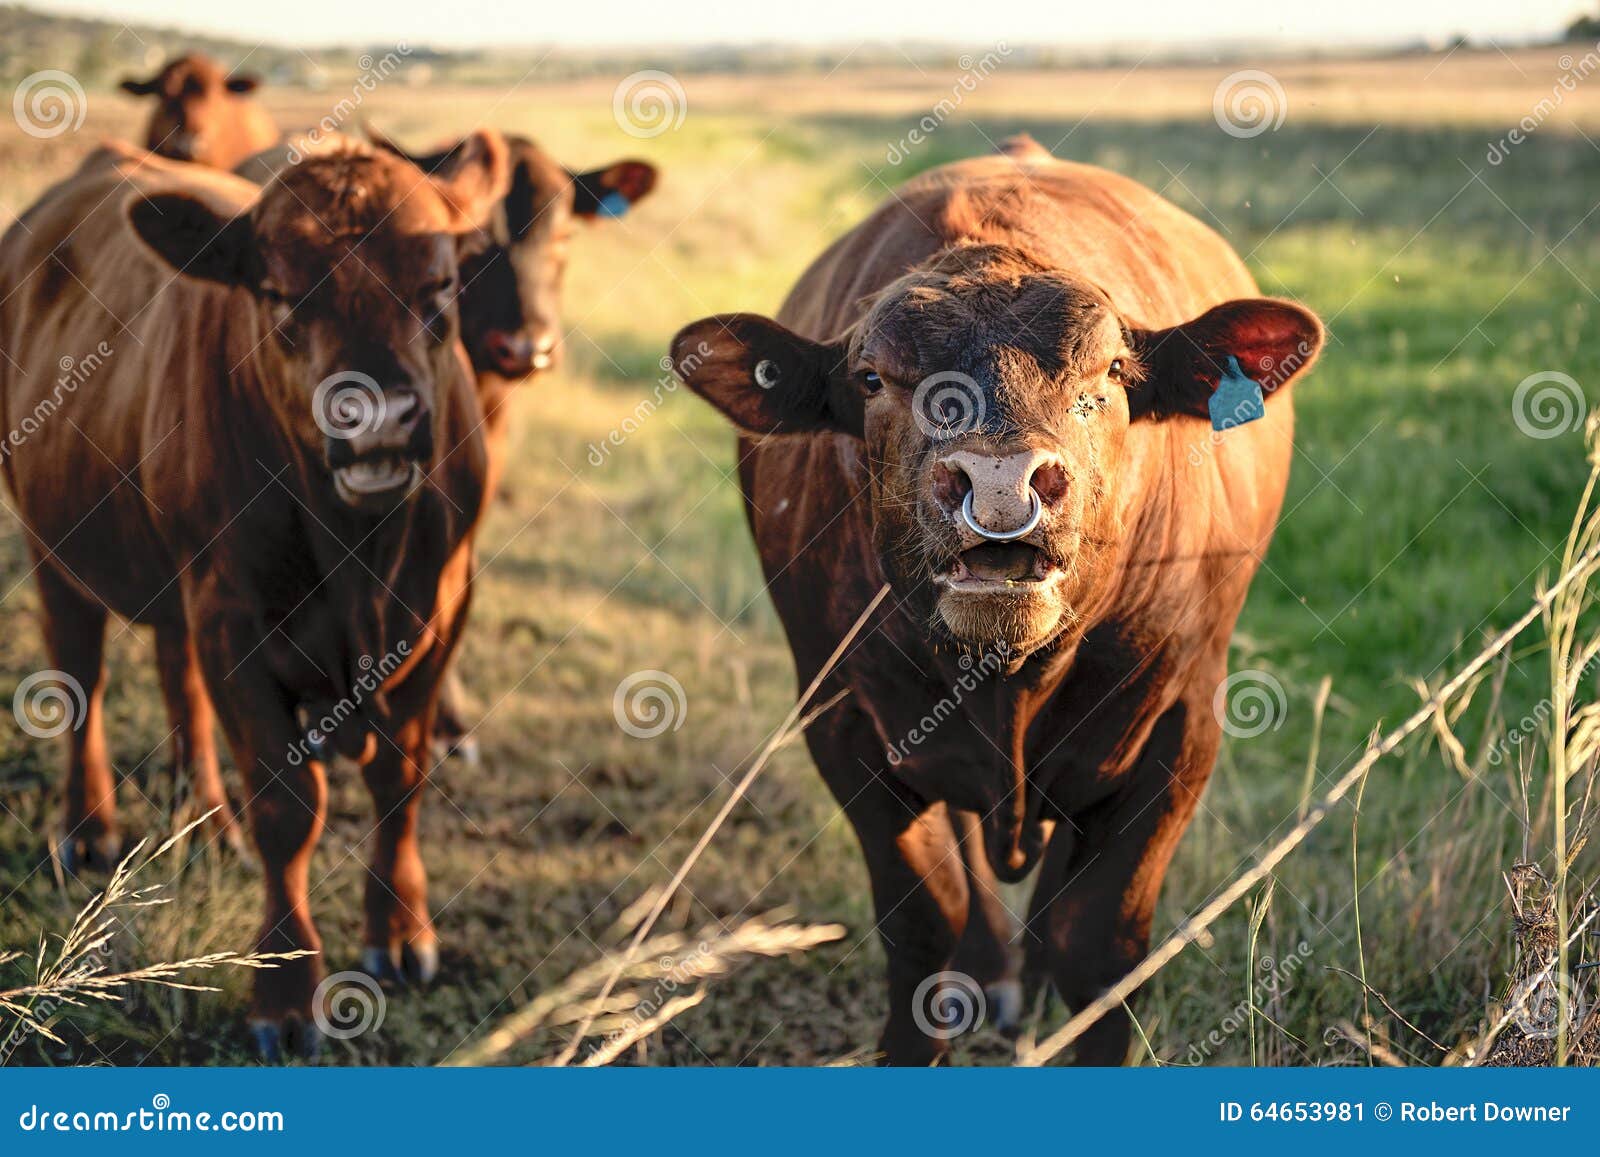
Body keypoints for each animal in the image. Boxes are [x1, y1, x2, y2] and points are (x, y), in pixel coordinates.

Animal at [0, 134, 505, 1056]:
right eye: (278, 293)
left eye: (441, 283)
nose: (378, 416)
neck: (360, 558)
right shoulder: (233, 616)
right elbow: (285, 805)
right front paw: (285, 988)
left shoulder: (444, 606)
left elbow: (401, 780)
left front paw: (400, 929)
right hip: (55, 547)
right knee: (81, 678)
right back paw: (88, 832)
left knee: (178, 683)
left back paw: (205, 823)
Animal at [671, 135, 1323, 1065]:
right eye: (871, 376)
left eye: (1111, 370)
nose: (1002, 483)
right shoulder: (844, 723)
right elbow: (924, 926)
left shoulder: (1183, 721)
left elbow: (1101, 945)